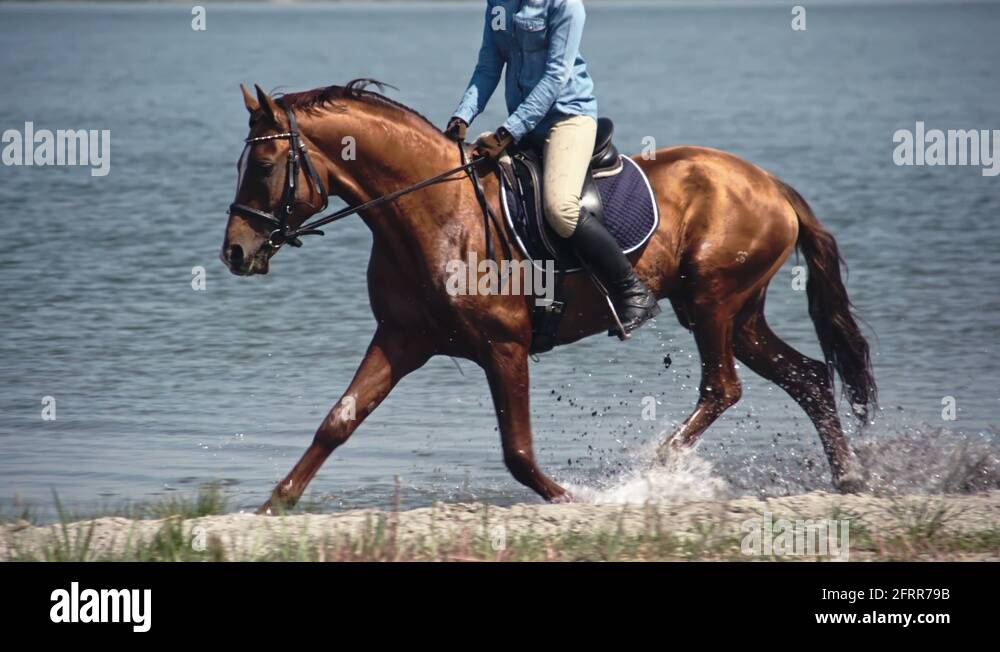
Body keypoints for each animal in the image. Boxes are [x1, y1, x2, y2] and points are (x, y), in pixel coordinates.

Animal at [221, 80, 876, 514]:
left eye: (264, 164)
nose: (234, 252)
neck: (435, 213)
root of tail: (769, 183)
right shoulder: (402, 338)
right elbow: (338, 422)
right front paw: (273, 506)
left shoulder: (504, 347)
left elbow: (517, 451)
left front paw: (574, 498)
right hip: (735, 313)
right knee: (808, 377)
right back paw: (848, 481)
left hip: (714, 303)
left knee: (723, 388)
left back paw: (657, 468)